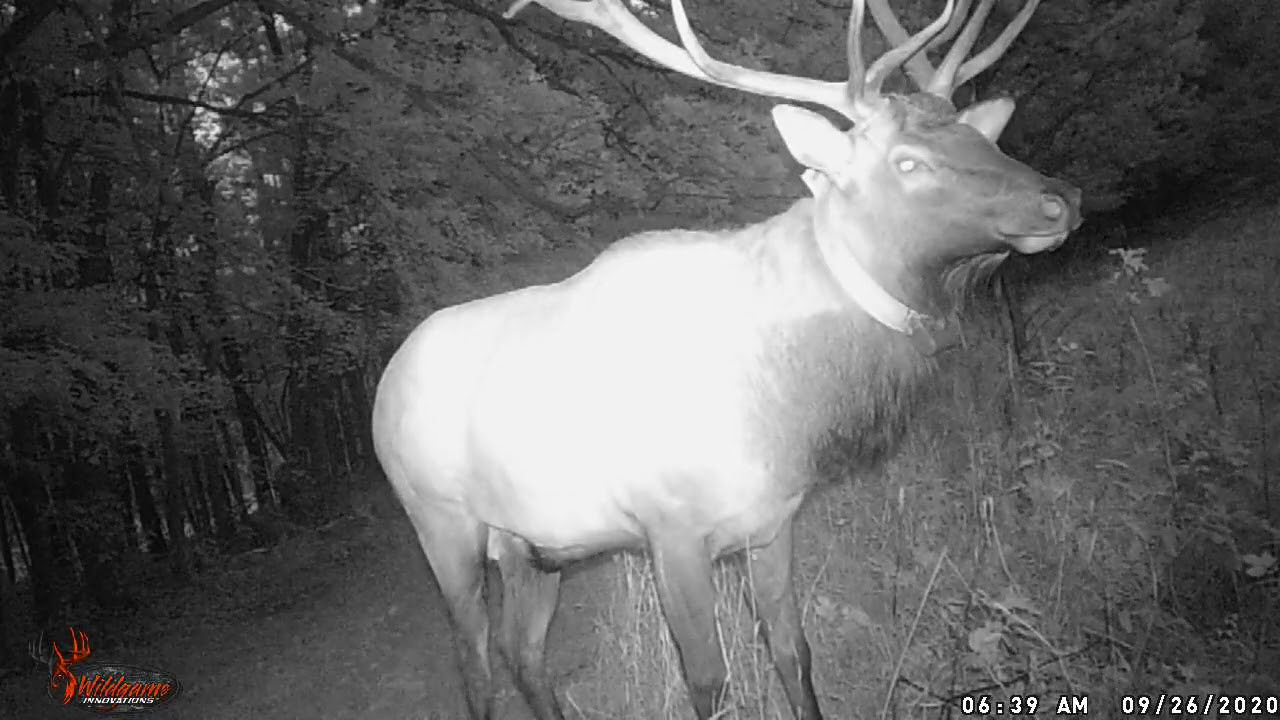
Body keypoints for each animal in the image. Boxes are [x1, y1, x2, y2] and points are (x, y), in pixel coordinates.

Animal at [371, 0, 1082, 718]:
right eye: (907, 163)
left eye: (983, 140)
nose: (1059, 200)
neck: (788, 409)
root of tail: (385, 379)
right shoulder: (671, 529)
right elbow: (709, 684)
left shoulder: (772, 522)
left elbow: (793, 652)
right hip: (441, 523)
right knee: (476, 661)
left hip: (534, 546)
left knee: (523, 652)